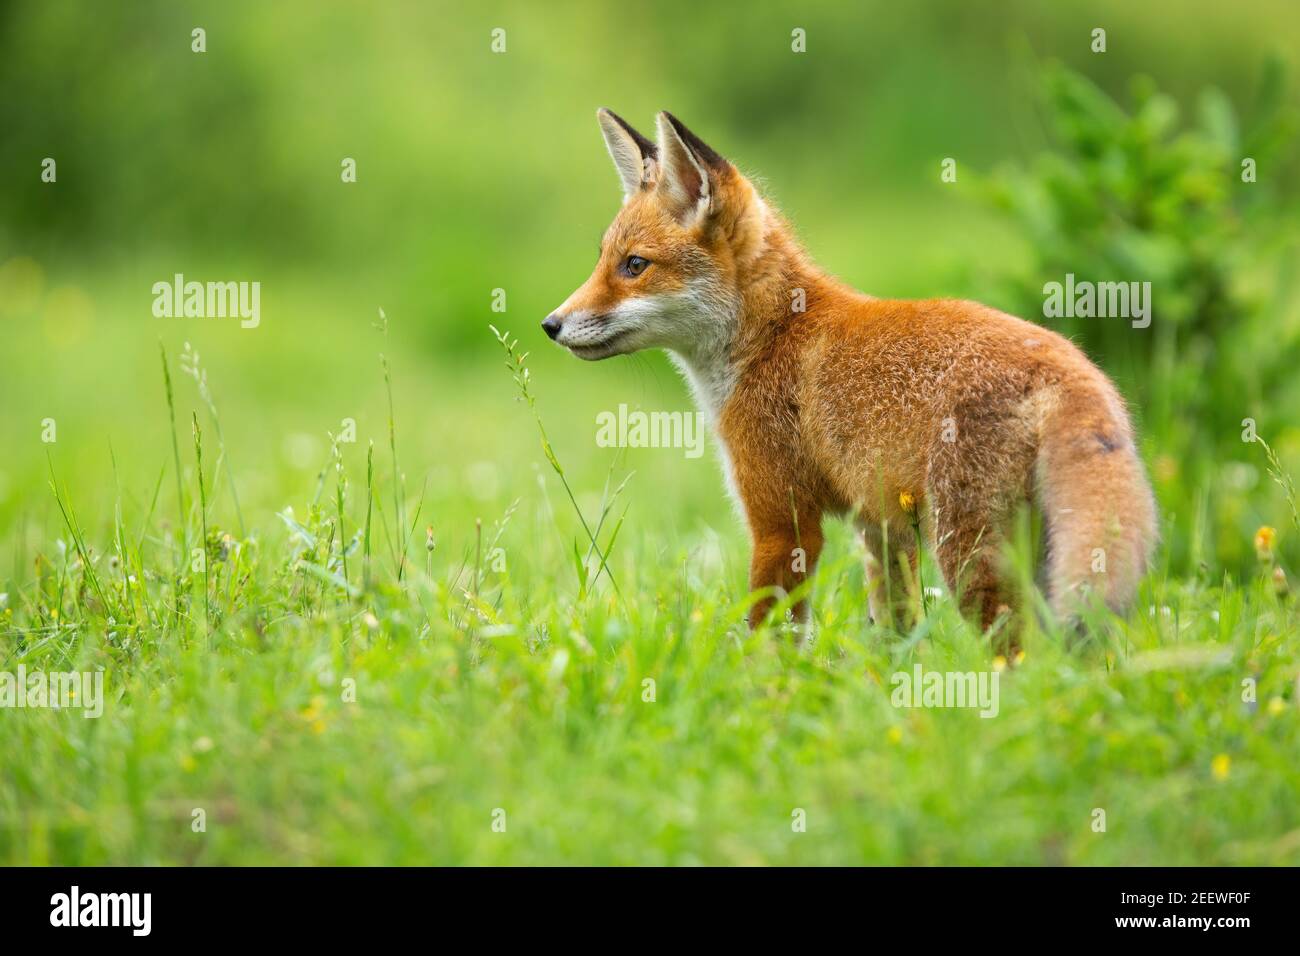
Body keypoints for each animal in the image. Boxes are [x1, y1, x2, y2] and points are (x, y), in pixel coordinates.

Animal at [543, 108, 1157, 639]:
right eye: (602, 260)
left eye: (634, 266)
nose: (551, 324)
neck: (773, 337)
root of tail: (1069, 363)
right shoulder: (880, 525)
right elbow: (896, 631)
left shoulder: (782, 520)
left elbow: (771, 632)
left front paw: (766, 687)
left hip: (968, 552)